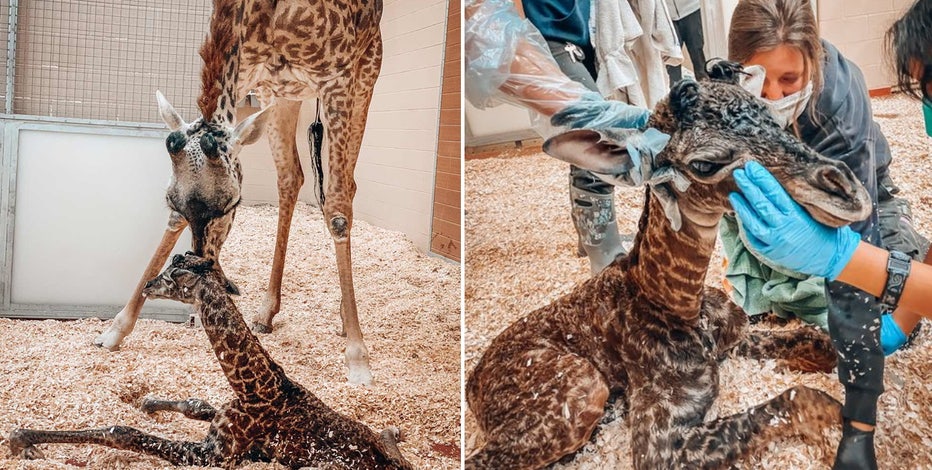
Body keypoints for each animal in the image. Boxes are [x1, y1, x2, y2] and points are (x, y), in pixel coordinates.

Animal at [9, 253, 413, 469]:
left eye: (172, 275)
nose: (146, 284)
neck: (257, 387)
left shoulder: (211, 455)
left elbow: (122, 432)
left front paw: (22, 438)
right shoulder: (220, 423)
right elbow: (195, 402)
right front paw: (149, 401)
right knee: (388, 439)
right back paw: (394, 430)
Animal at [93, 0, 384, 385]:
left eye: (232, 203)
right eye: (171, 201)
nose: (196, 273)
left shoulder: (337, 76)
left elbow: (336, 207)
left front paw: (358, 358)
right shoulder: (249, 77)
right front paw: (115, 329)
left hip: (367, 70)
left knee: (345, 187)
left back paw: (342, 320)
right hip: (282, 96)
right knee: (290, 176)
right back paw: (266, 312)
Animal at [465, 74, 874, 468]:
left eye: (775, 119)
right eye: (704, 164)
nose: (849, 192)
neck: (677, 303)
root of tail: (472, 385)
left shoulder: (733, 340)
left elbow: (820, 342)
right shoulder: (658, 440)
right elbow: (805, 397)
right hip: (582, 390)